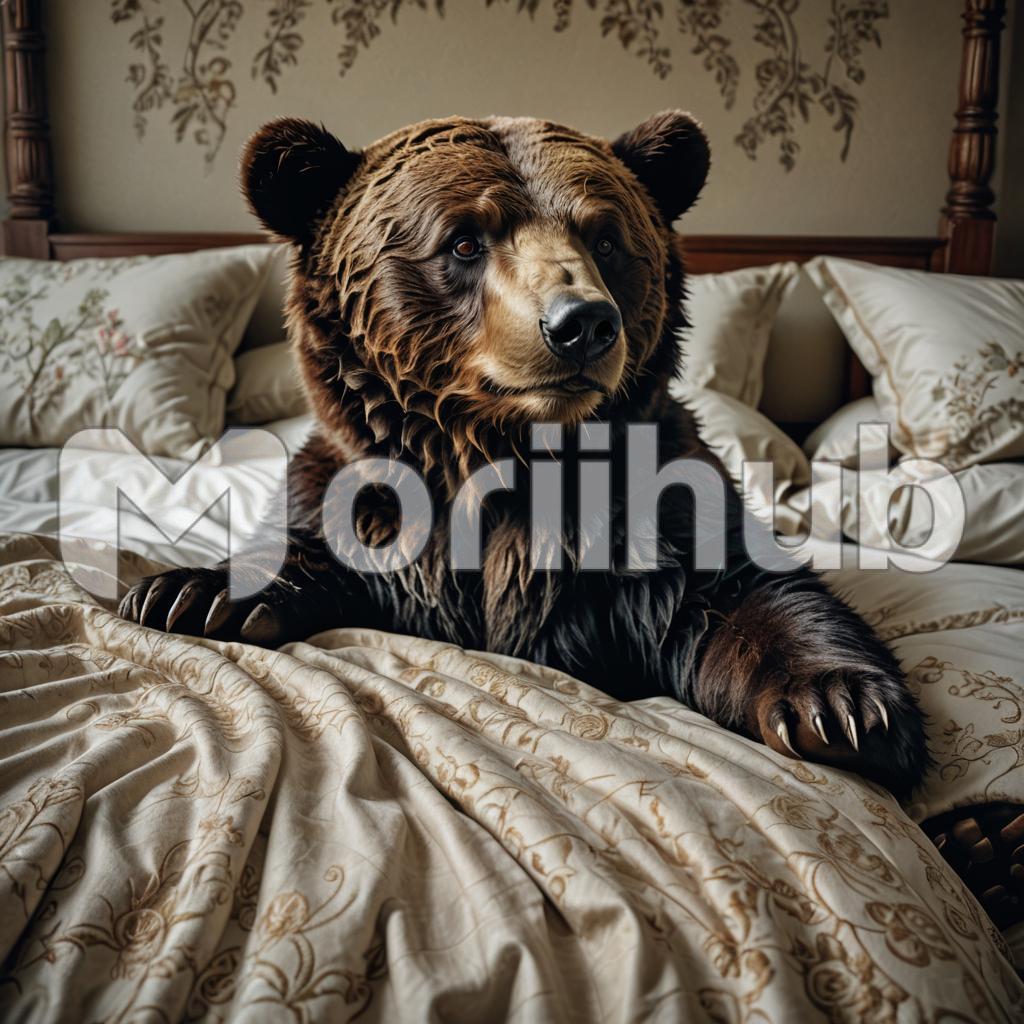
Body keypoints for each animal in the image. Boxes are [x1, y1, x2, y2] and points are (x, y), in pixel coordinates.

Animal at [119, 111, 929, 798]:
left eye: (605, 237)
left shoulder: (650, 526)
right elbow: (303, 547)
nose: (582, 324)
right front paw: (188, 594)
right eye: (463, 239)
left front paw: (843, 707)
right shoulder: (370, 509)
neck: (501, 456)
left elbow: (748, 592)